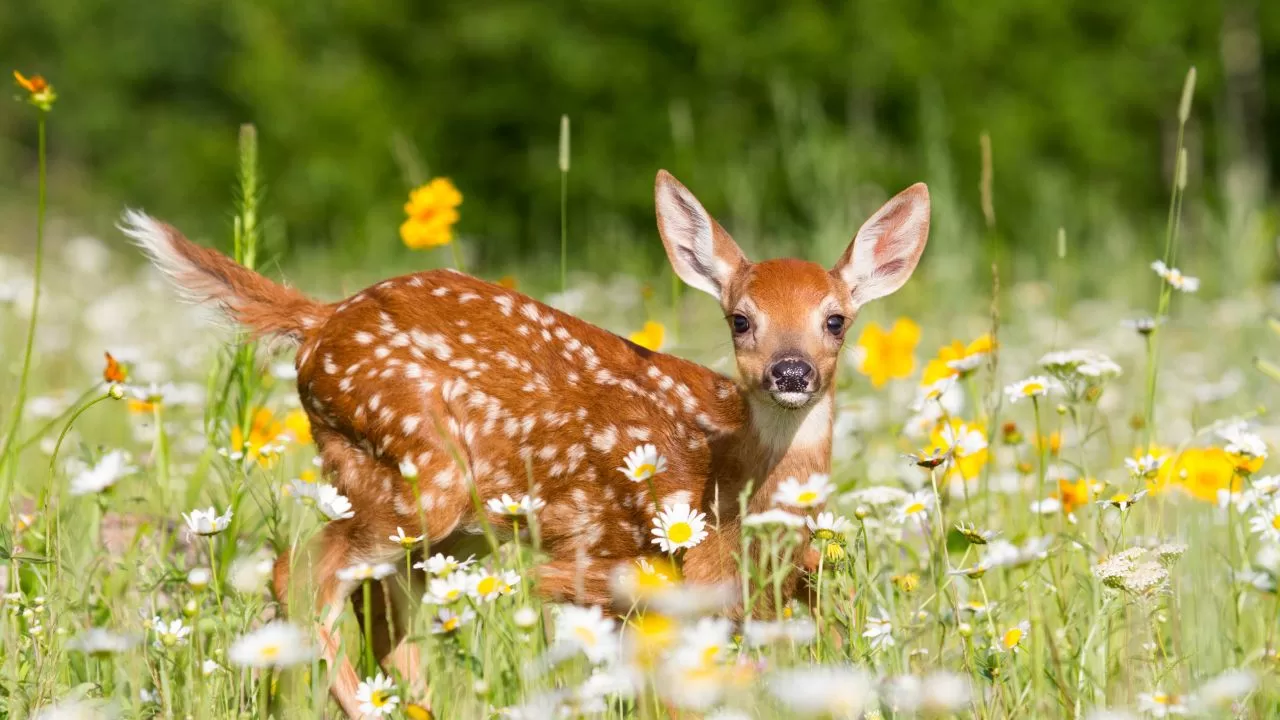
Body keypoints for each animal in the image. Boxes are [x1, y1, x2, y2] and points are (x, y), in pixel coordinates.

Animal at [122, 170, 929, 717]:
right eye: (740, 318)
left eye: (836, 320)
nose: (791, 372)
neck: (726, 484)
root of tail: (320, 320)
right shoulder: (610, 572)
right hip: (420, 471)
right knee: (300, 569)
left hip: (434, 516)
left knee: (380, 603)